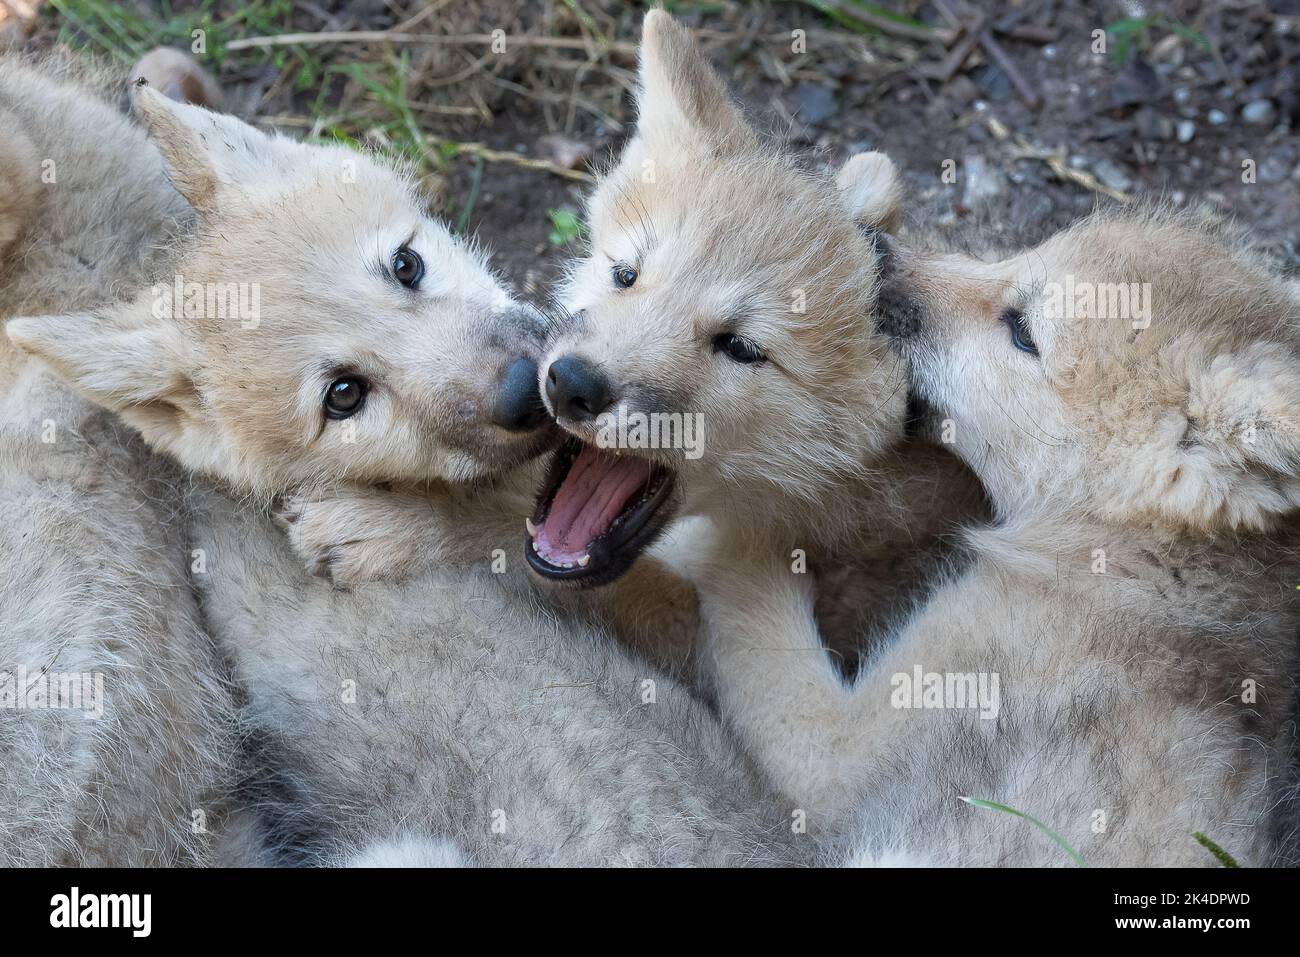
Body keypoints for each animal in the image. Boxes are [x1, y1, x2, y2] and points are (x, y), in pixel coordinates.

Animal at [689, 206, 1300, 866]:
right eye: (1025, 250)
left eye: (1024, 333)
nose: (870, 246)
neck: (1138, 571)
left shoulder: (833, 753)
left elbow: (742, 559)